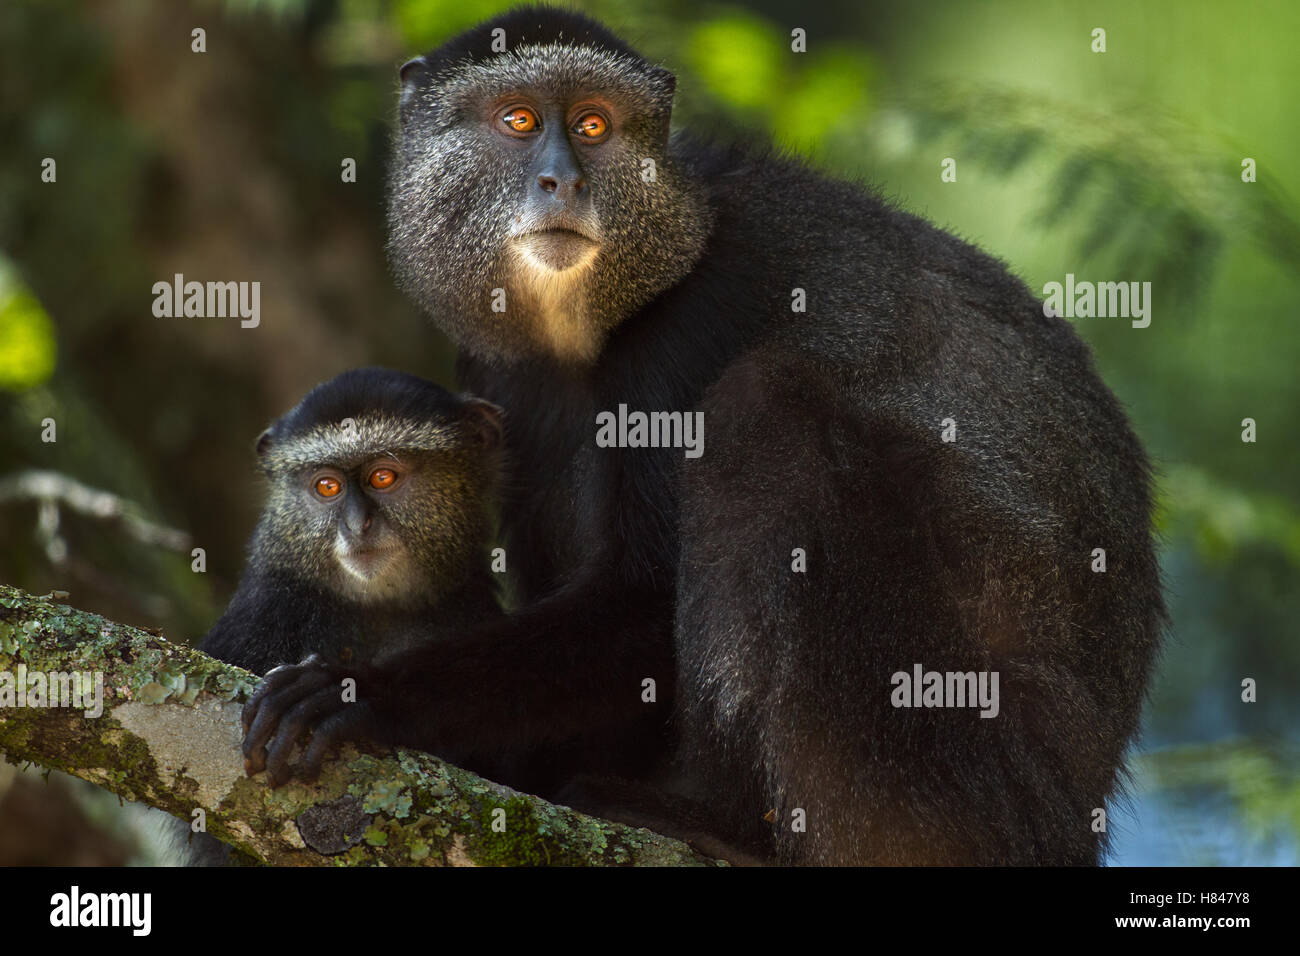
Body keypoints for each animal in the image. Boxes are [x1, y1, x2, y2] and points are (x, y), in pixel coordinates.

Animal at [241, 6, 1165, 865]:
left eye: (593, 125)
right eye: (518, 120)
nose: (560, 181)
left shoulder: (692, 319)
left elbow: (645, 597)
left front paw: (369, 698)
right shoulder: (496, 370)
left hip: (957, 772)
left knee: (769, 410)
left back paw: (727, 826)